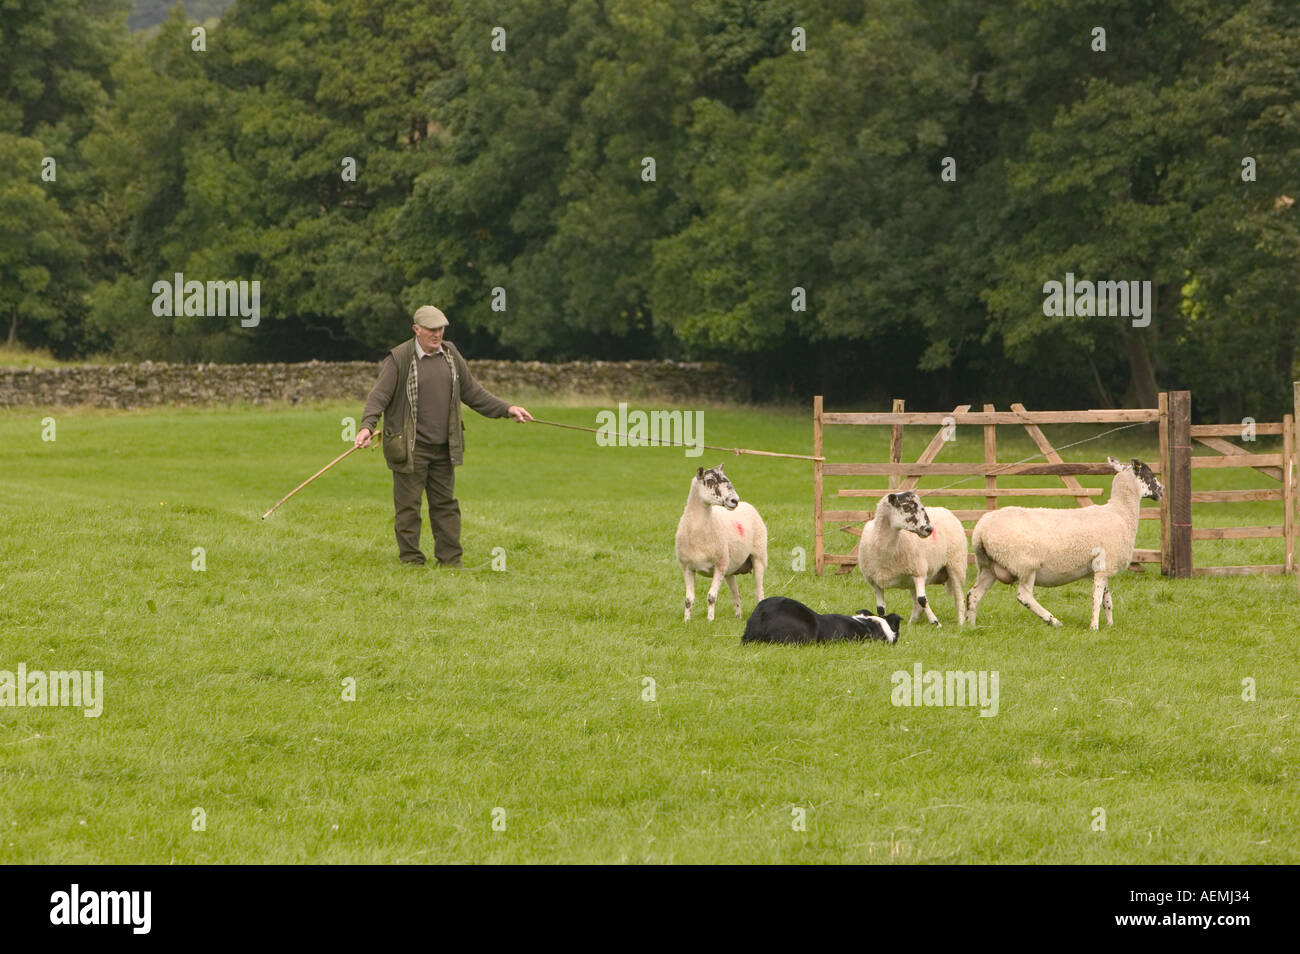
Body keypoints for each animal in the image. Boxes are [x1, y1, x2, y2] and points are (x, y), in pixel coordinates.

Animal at [675, 464, 768, 621]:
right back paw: (738, 617)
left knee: (759, 592)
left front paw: (710, 620)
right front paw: (686, 621)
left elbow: (711, 597)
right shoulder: (687, 567)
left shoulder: (719, 565)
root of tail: (747, 505)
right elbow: (688, 600)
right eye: (710, 480)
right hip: (730, 567)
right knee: (736, 594)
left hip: (758, 556)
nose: (734, 500)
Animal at [857, 491, 968, 627]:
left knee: (959, 597)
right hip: (912, 580)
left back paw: (961, 623)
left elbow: (923, 600)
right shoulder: (874, 582)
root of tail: (944, 510)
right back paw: (911, 623)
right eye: (907, 507)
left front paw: (936, 622)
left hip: (956, 565)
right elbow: (881, 609)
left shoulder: (918, 572)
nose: (929, 529)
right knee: (916, 603)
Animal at [965, 457, 1163, 630]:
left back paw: (970, 625)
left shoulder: (1102, 567)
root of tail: (980, 531)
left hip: (988, 567)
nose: (1161, 490)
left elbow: (1107, 600)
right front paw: (1094, 627)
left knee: (973, 595)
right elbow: (1097, 598)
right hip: (1024, 565)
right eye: (1149, 473)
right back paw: (1053, 621)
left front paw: (1109, 625)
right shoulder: (1103, 567)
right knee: (1024, 596)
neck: (1120, 512)